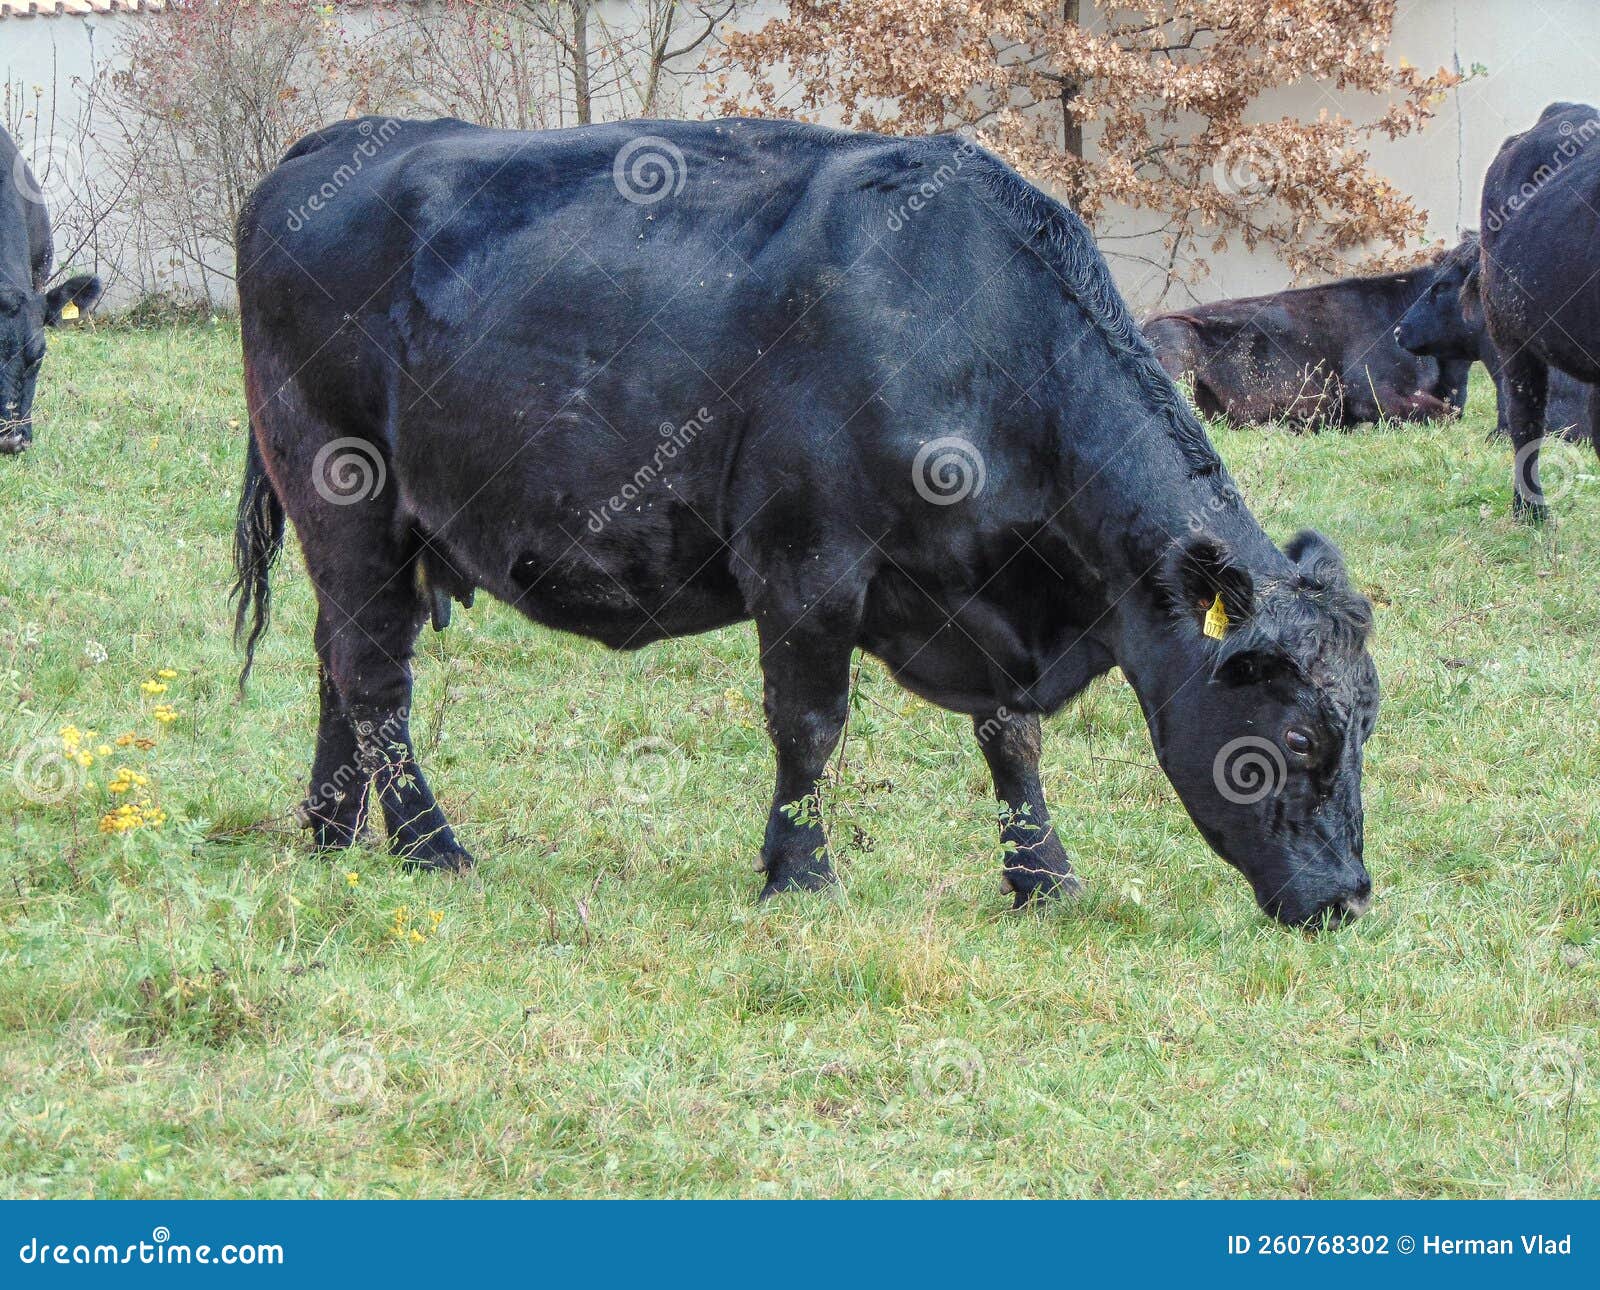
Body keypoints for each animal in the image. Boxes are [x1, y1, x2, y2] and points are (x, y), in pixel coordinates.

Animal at [232, 117, 1379, 929]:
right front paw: (800, 877)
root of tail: (331, 142)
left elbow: (1012, 738)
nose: (1349, 898)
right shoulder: (805, 560)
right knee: (375, 675)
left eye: (1367, 726)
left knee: (341, 657)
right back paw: (430, 846)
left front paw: (1043, 881)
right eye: (1294, 737)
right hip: (345, 493)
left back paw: (331, 831)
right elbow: (810, 724)